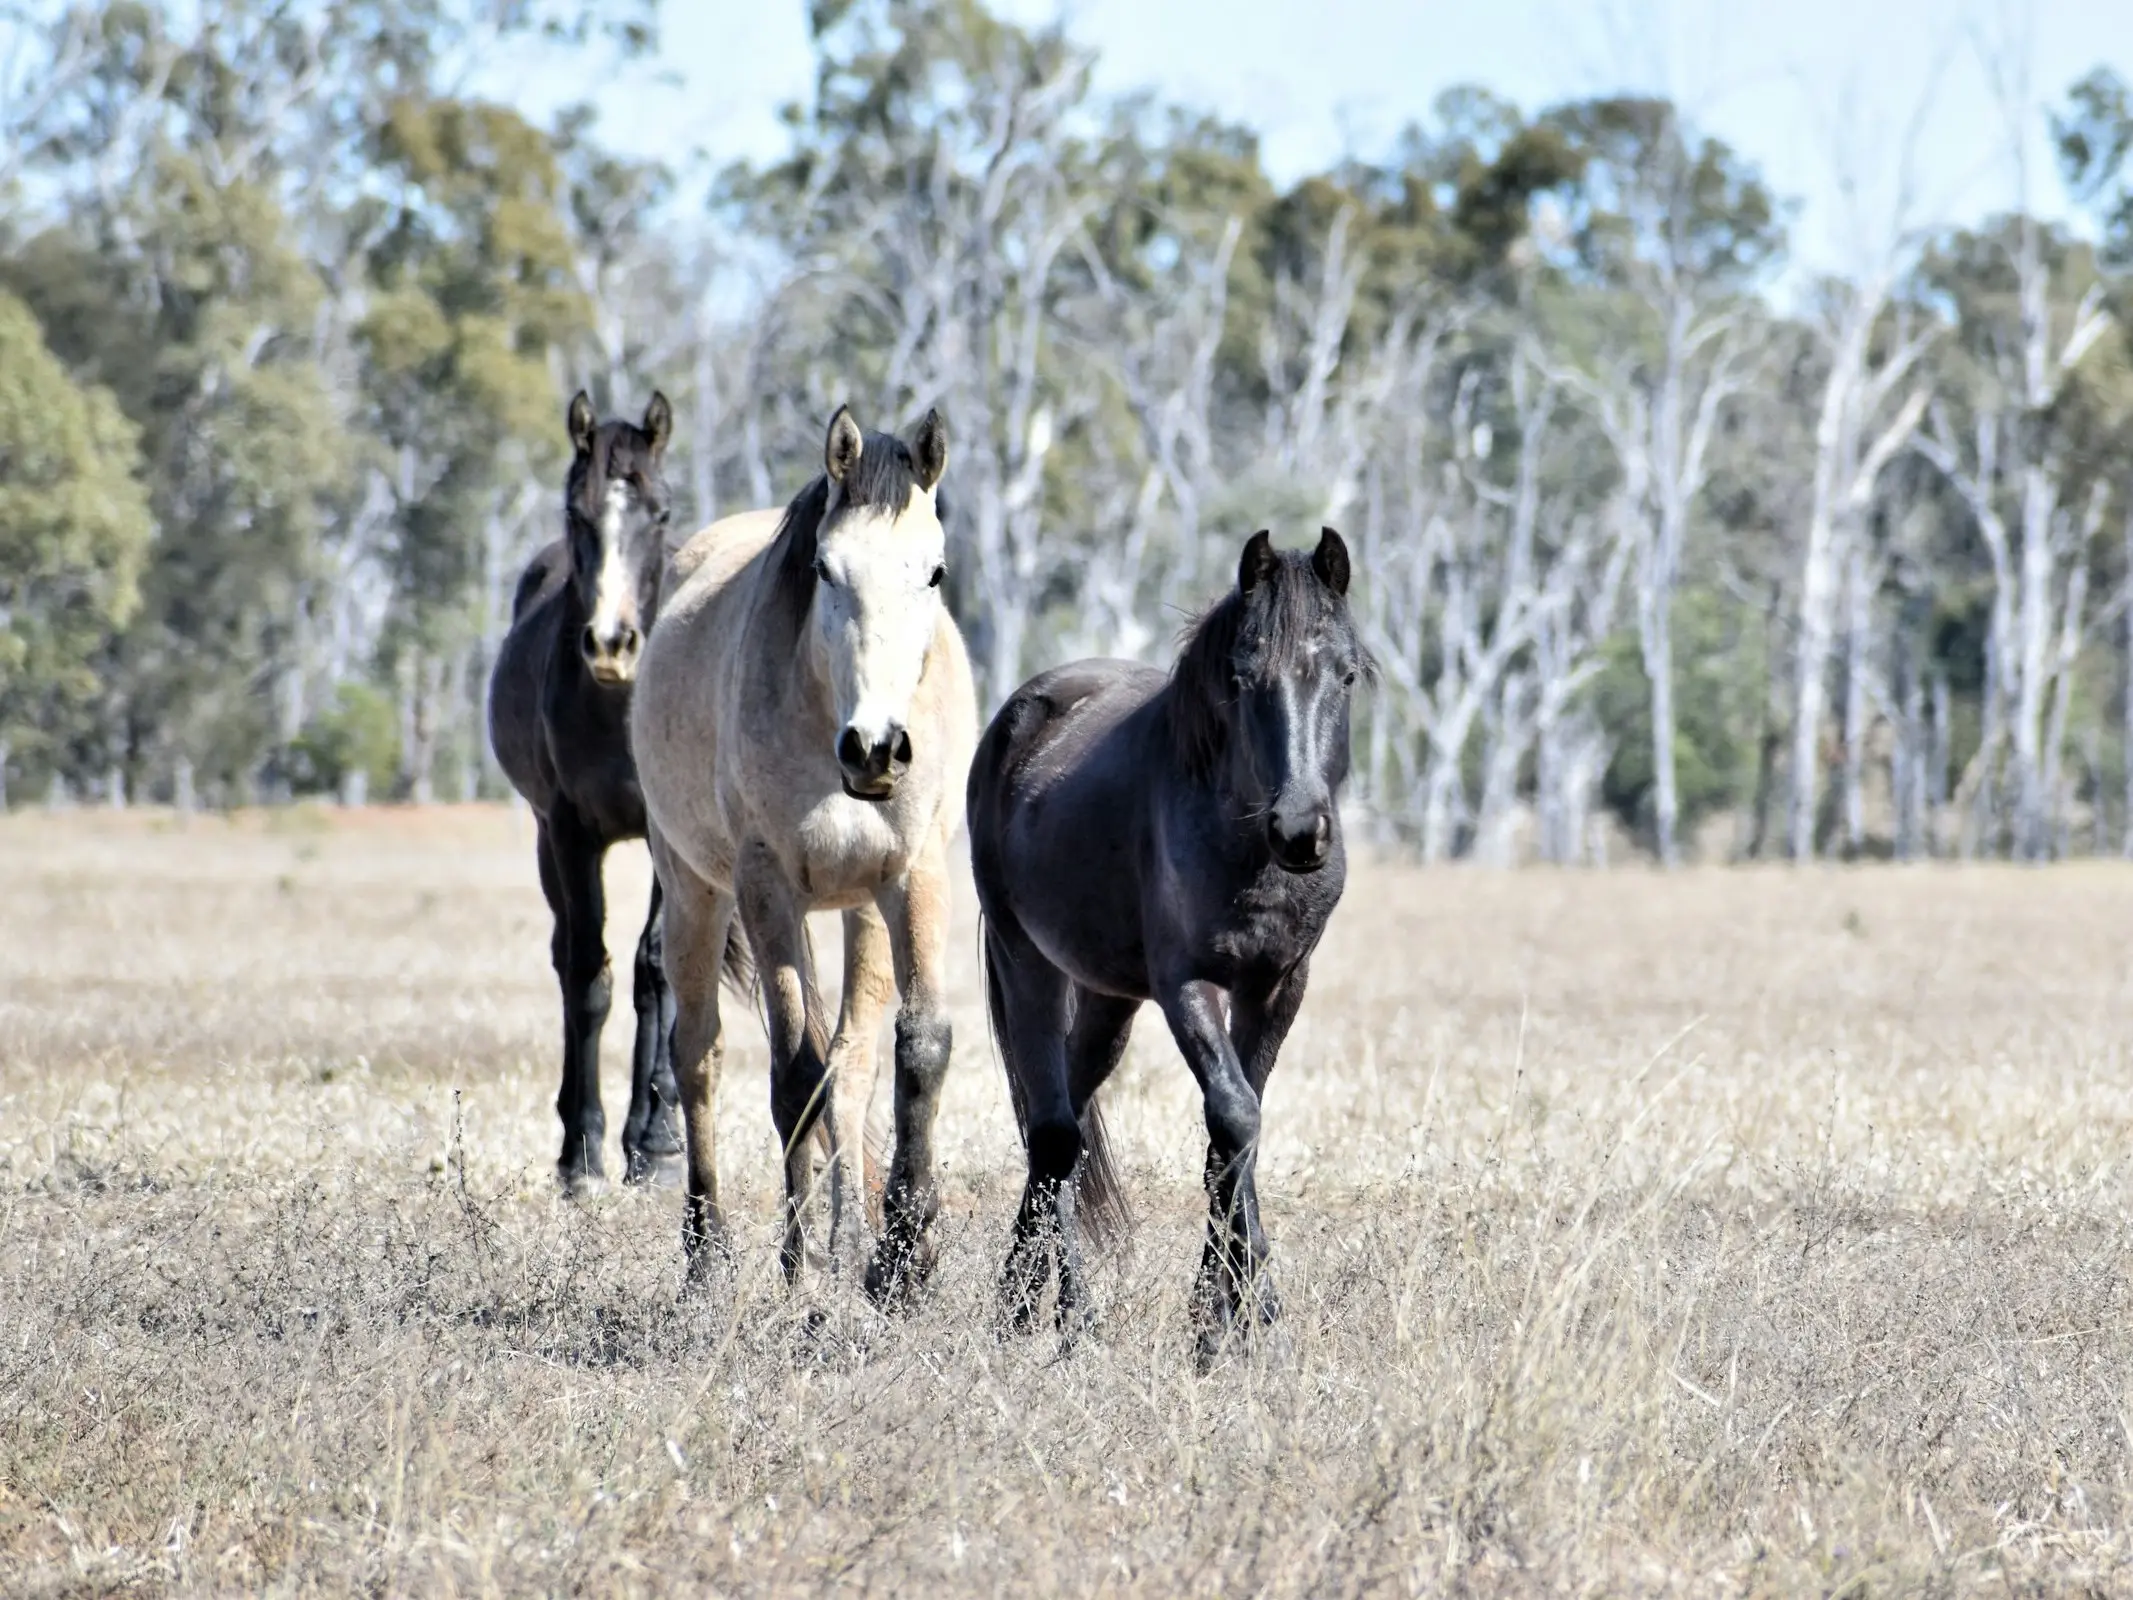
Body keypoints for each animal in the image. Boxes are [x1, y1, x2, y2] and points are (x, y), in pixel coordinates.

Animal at [632, 405, 977, 1301]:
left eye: (934, 572)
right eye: (824, 569)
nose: (877, 749)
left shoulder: (911, 878)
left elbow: (913, 1050)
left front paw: (900, 1258)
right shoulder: (768, 889)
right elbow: (791, 1076)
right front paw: (803, 1270)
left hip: (860, 911)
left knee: (849, 1070)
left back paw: (851, 1237)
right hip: (693, 891)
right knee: (699, 1056)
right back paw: (708, 1257)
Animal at [966, 527, 1371, 1364]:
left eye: (1345, 674)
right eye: (1242, 679)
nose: (1299, 829)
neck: (1239, 842)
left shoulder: (1278, 985)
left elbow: (1231, 1137)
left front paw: (1214, 1325)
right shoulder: (1188, 986)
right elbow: (1236, 1118)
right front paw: (1261, 1317)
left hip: (1105, 1000)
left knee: (1063, 1125)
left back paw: (1018, 1309)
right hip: (1027, 961)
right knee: (1053, 1132)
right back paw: (1067, 1322)